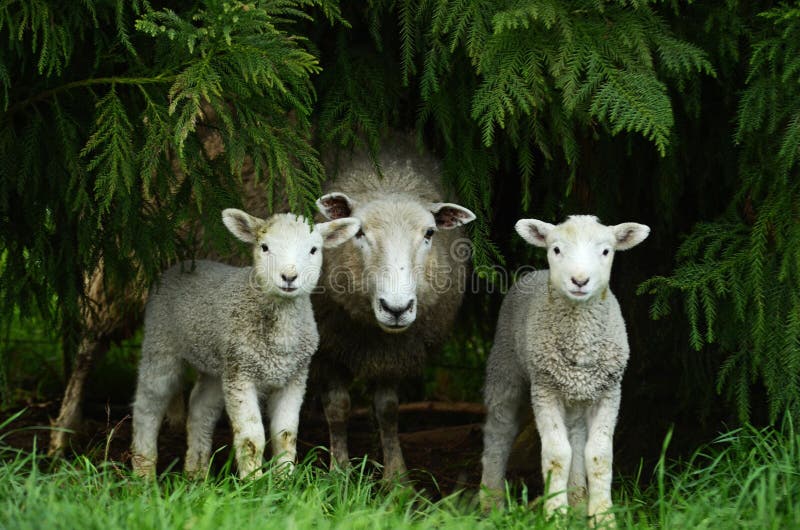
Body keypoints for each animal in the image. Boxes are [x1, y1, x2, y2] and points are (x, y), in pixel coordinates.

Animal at [131, 209, 360, 479]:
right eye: (264, 247)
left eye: (314, 249)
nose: (289, 277)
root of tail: (181, 265)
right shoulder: (242, 374)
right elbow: (252, 439)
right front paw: (254, 482)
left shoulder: (294, 376)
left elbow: (286, 435)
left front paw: (284, 480)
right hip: (162, 342)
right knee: (148, 405)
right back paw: (143, 473)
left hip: (219, 362)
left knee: (200, 408)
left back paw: (196, 473)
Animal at [313, 137, 476, 479]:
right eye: (359, 232)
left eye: (429, 233)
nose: (396, 308)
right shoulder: (327, 346)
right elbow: (337, 407)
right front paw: (338, 472)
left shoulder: (396, 351)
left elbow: (387, 410)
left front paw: (397, 477)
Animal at [480, 215, 649, 523]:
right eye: (556, 249)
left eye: (606, 251)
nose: (580, 281)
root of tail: (536, 271)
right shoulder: (545, 388)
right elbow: (558, 454)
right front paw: (555, 514)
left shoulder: (609, 391)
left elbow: (598, 455)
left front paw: (602, 517)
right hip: (505, 365)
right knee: (498, 432)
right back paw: (492, 502)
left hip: (576, 393)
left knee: (577, 438)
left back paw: (578, 501)